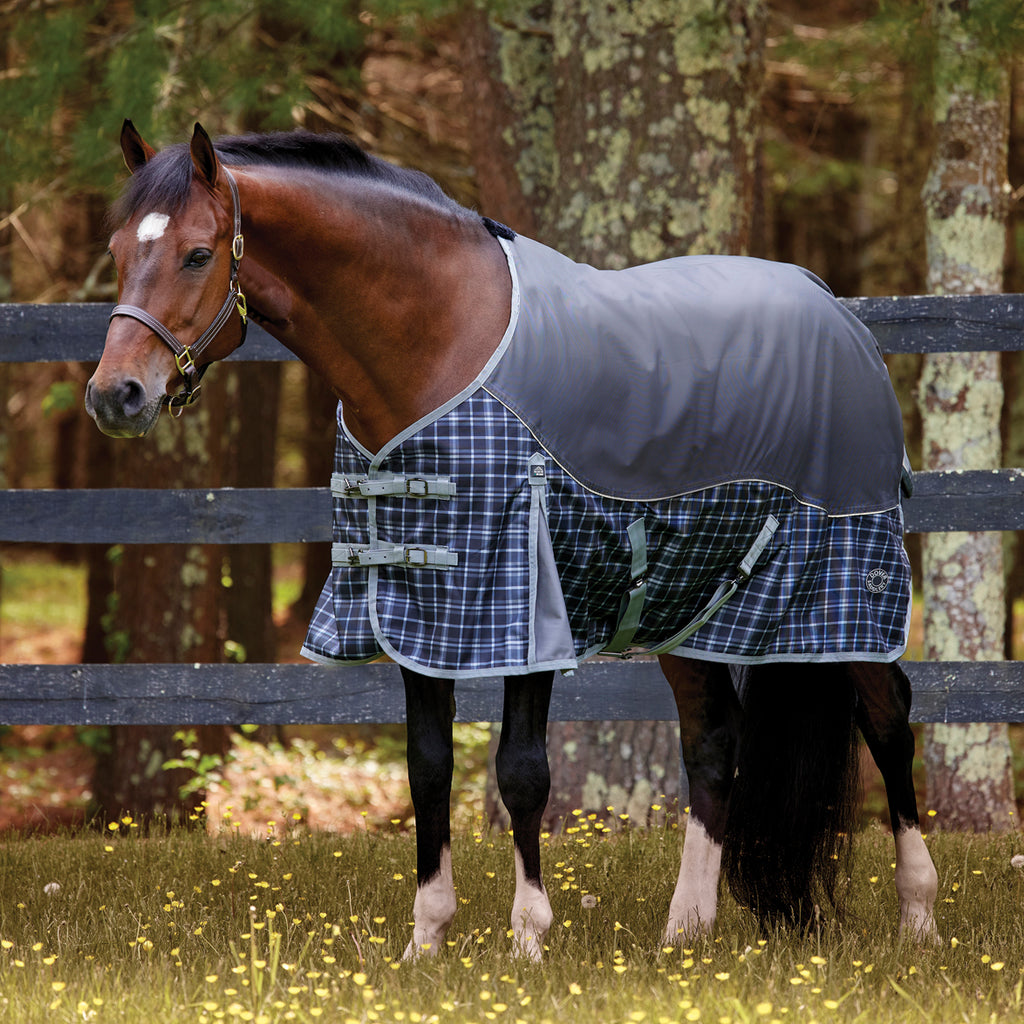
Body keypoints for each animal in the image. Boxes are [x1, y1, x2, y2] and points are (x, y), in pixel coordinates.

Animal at [86, 121, 939, 959]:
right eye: (119, 250)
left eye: (198, 253)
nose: (114, 396)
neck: (437, 343)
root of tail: (837, 310)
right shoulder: (420, 601)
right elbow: (428, 767)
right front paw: (427, 940)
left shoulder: (525, 598)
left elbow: (522, 770)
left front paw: (528, 939)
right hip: (692, 594)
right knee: (714, 741)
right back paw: (685, 932)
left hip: (846, 578)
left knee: (889, 717)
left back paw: (918, 916)